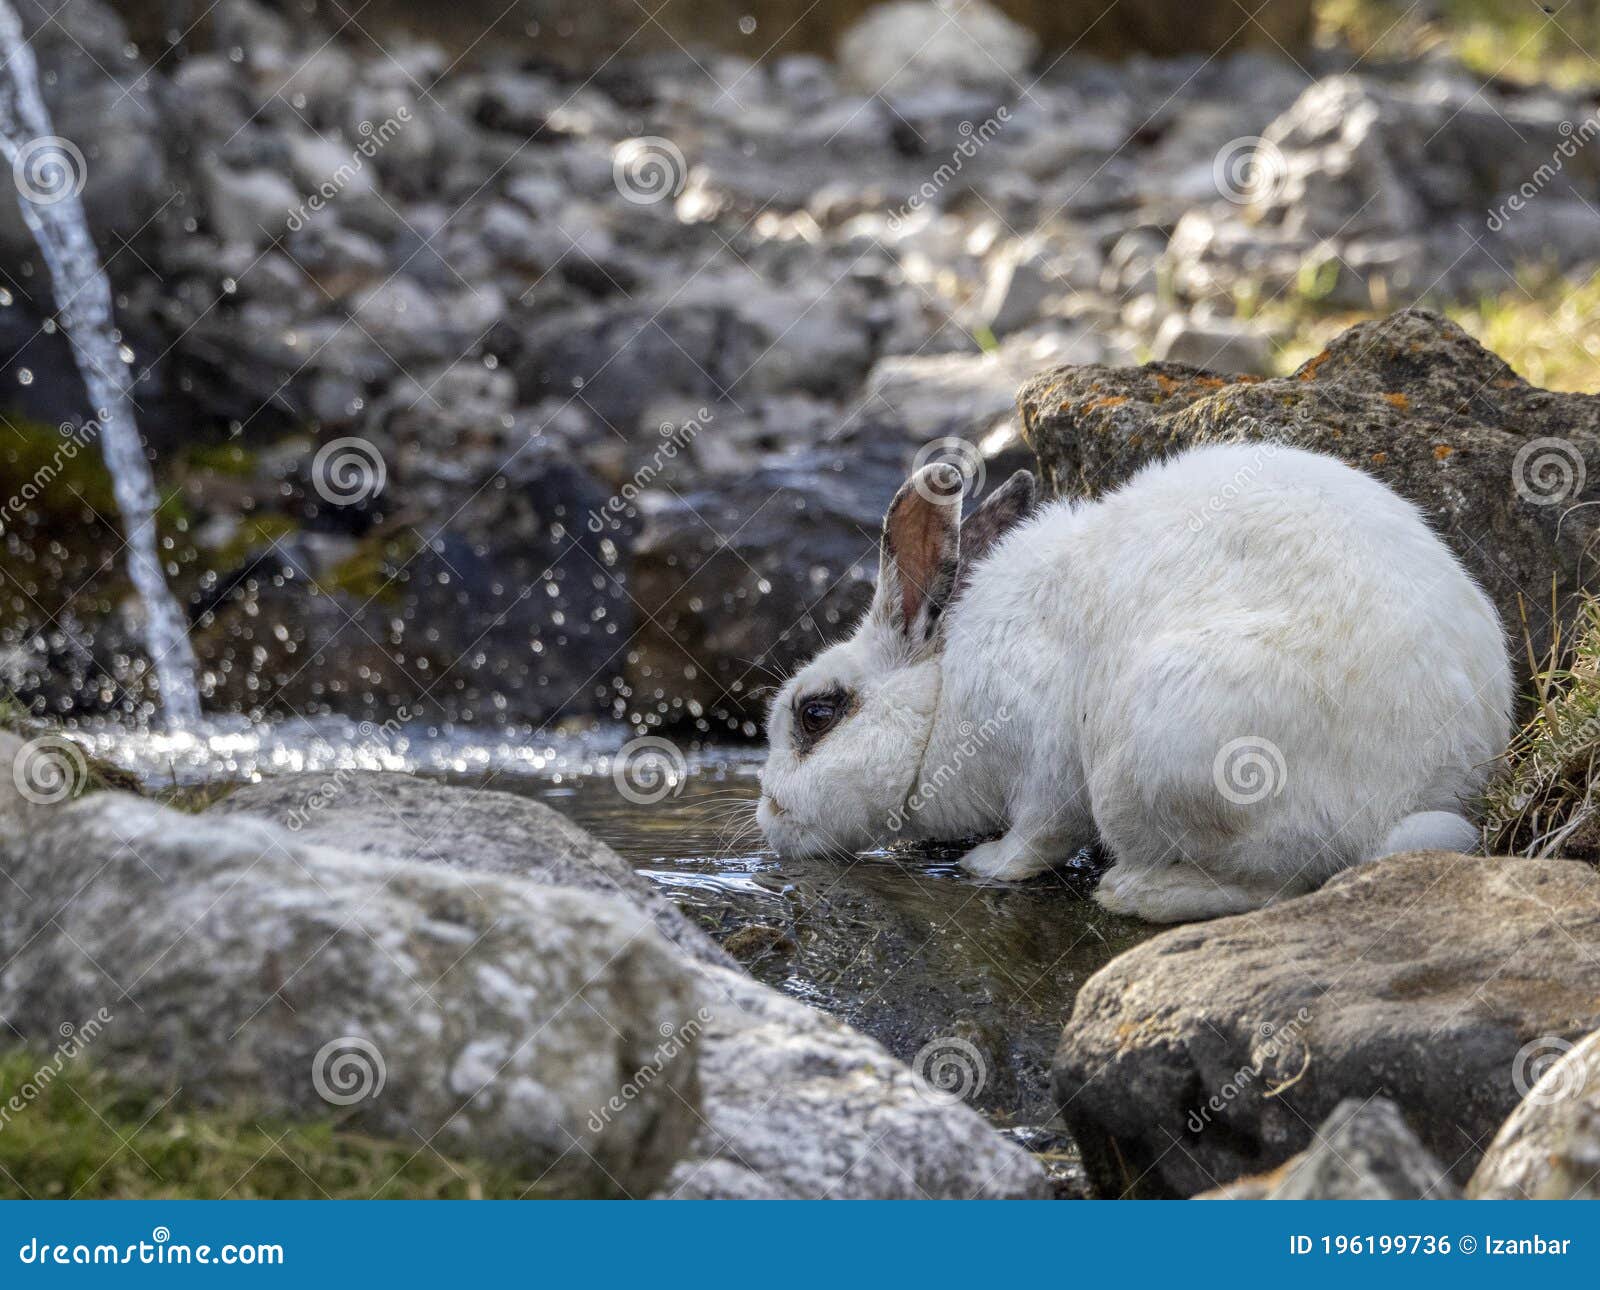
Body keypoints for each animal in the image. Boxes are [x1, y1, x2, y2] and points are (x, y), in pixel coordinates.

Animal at [757, 441, 1513, 923]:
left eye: (817, 713)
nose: (766, 813)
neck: (943, 692)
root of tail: (1427, 787)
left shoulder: (1044, 756)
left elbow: (1038, 834)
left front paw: (986, 864)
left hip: (1165, 758)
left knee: (1281, 886)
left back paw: (1132, 891)